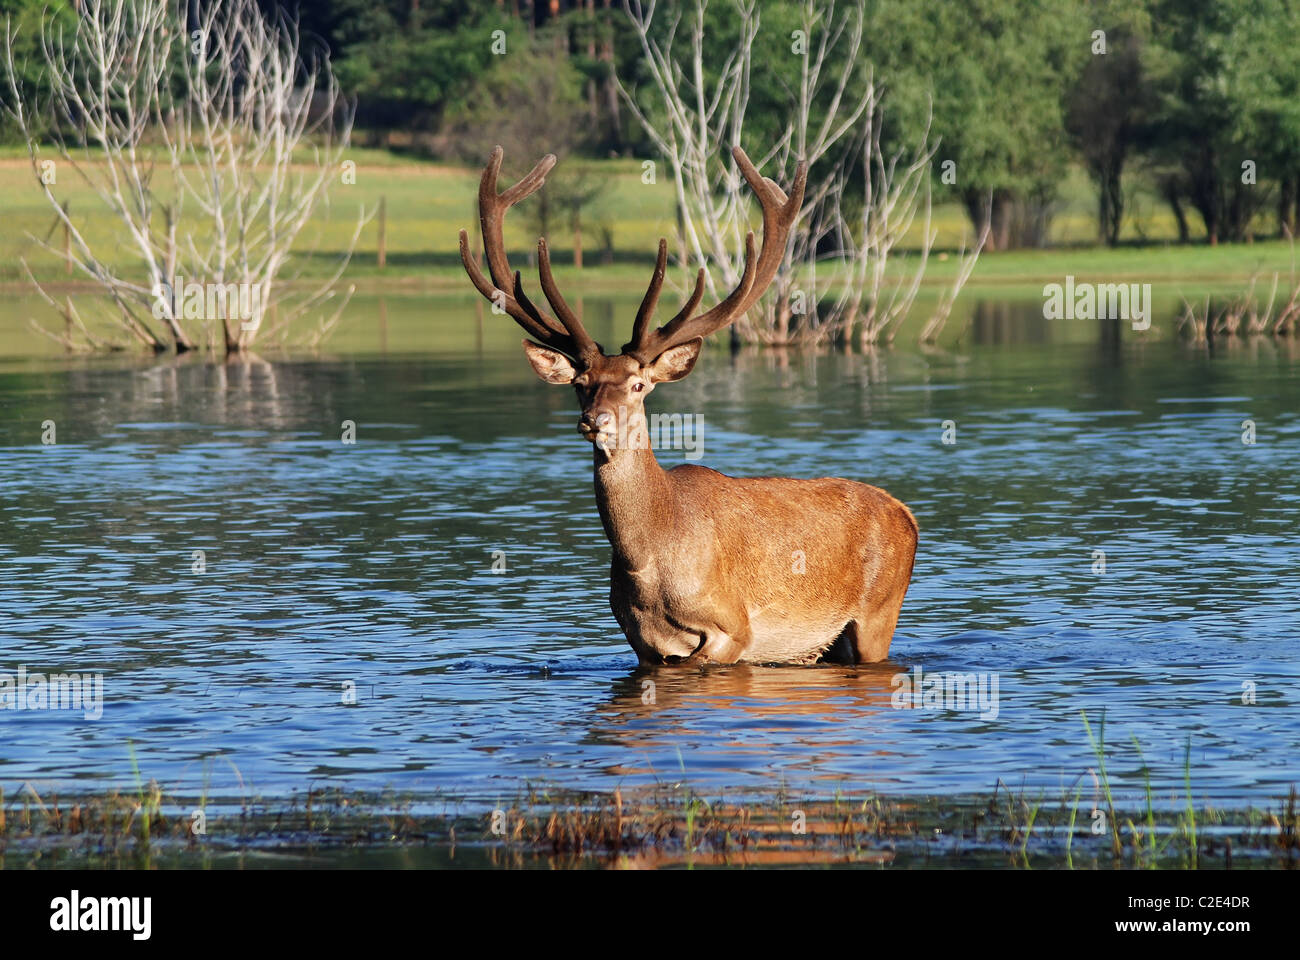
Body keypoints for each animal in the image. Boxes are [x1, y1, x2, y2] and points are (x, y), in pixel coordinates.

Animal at [459, 145, 918, 666]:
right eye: (581, 383)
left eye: (638, 385)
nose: (594, 420)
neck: (650, 564)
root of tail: (907, 514)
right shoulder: (642, 644)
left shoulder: (734, 628)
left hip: (878, 613)